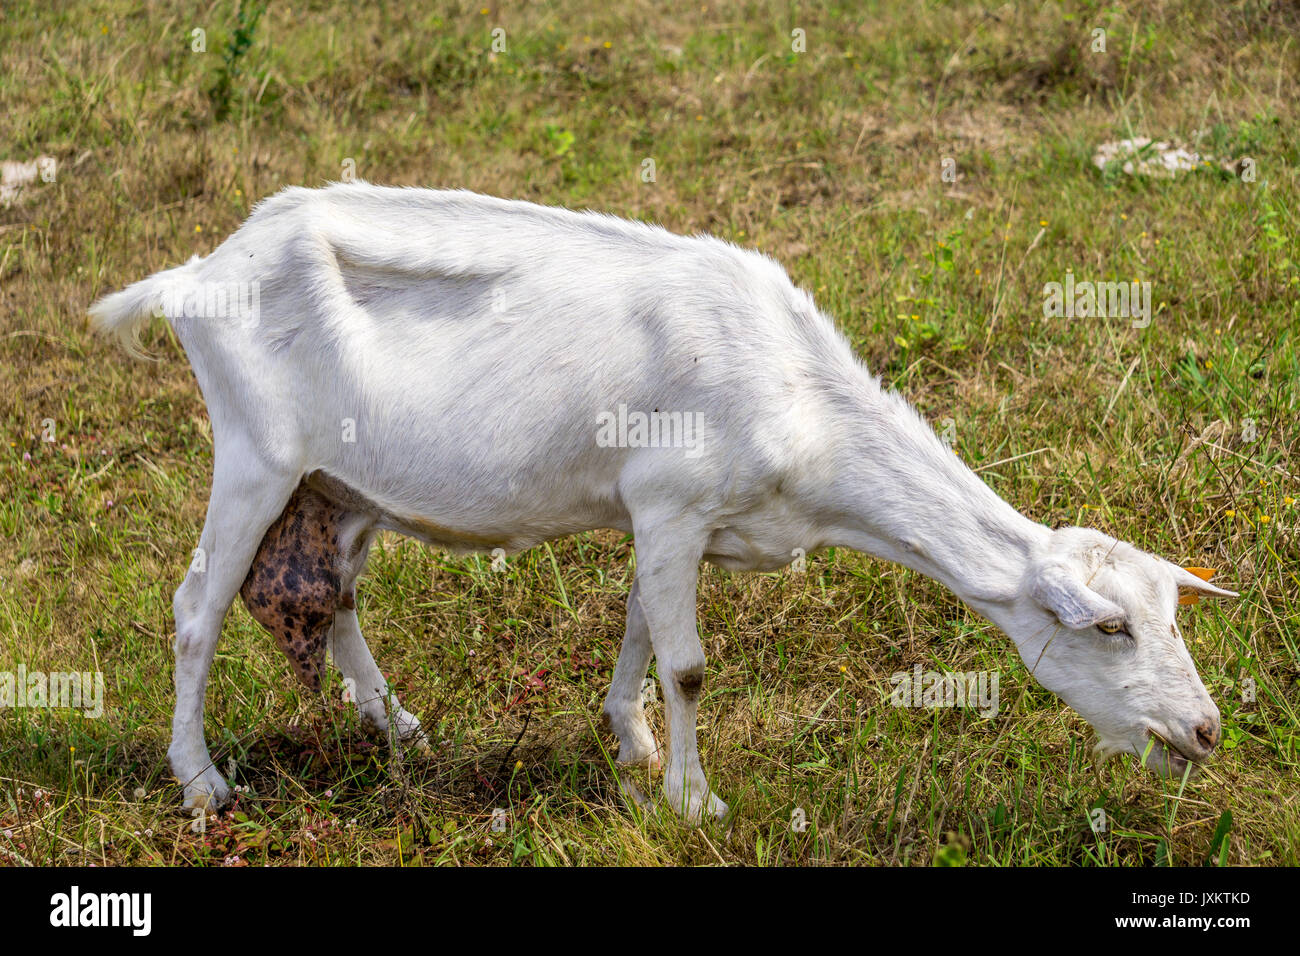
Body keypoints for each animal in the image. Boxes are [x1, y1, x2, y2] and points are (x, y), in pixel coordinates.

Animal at [90, 182, 1237, 822]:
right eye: (1111, 626)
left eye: (1171, 614)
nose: (1206, 730)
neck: (801, 400)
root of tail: (194, 272)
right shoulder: (673, 500)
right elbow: (687, 665)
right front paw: (694, 798)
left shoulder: (670, 520)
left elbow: (642, 632)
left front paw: (635, 751)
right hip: (254, 456)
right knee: (196, 608)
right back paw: (201, 782)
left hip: (338, 486)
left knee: (331, 599)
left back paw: (401, 727)